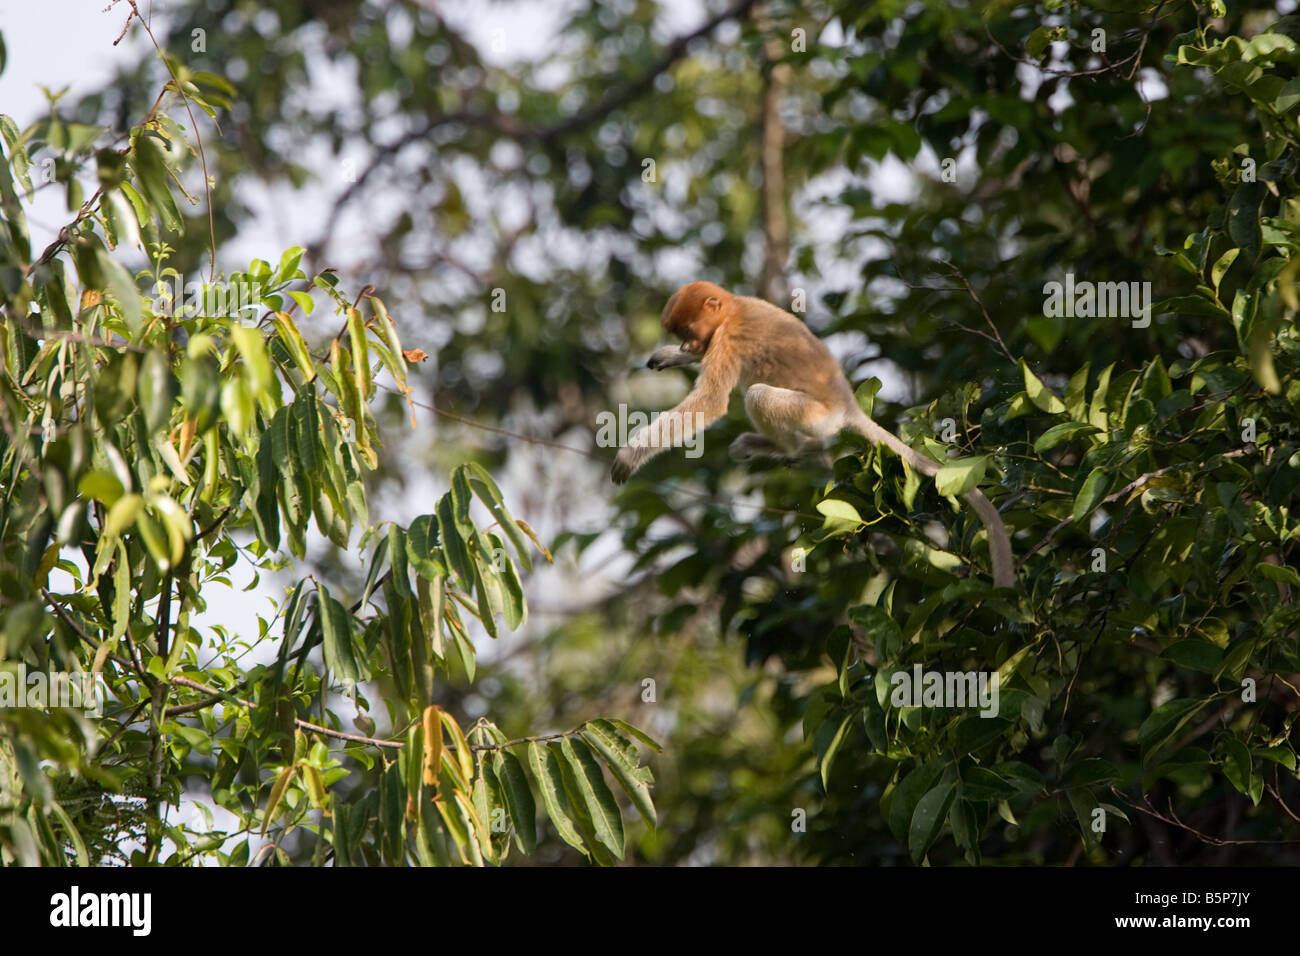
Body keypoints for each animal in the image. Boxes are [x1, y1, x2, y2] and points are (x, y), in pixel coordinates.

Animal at [610, 280, 1015, 589]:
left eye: (689, 331)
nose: (686, 346)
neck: (733, 308)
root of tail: (847, 404)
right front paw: (668, 356)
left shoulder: (726, 338)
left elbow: (709, 403)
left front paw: (629, 457)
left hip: (816, 416)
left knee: (759, 395)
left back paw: (788, 447)